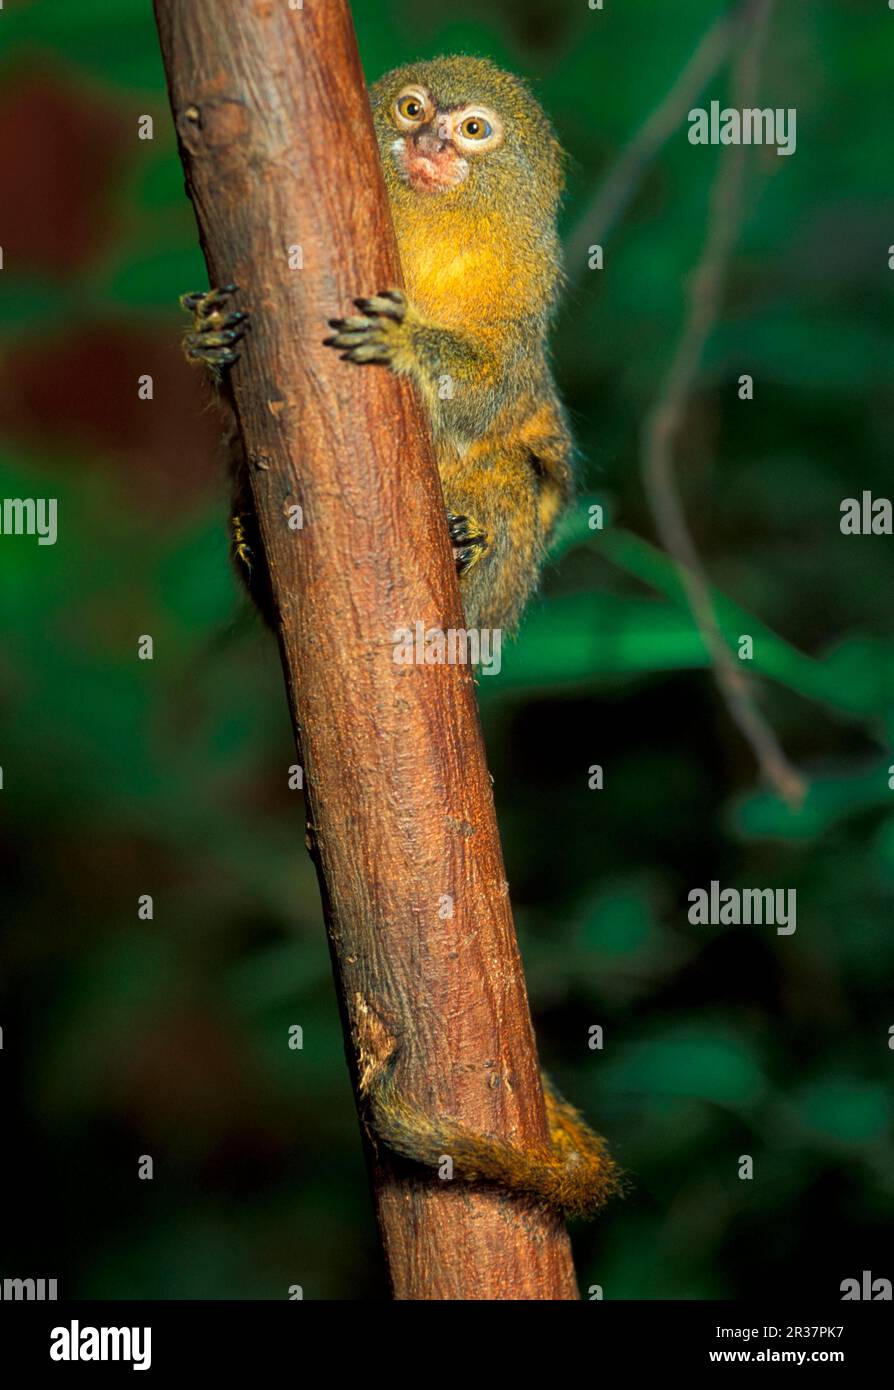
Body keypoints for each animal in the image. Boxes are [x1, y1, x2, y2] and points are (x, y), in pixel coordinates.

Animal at [180, 57, 618, 1219]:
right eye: (414, 113)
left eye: (474, 134)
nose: (427, 149)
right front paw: (203, 337)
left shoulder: (522, 308)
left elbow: (505, 396)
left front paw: (417, 349)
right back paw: (256, 546)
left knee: (518, 483)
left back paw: (463, 552)